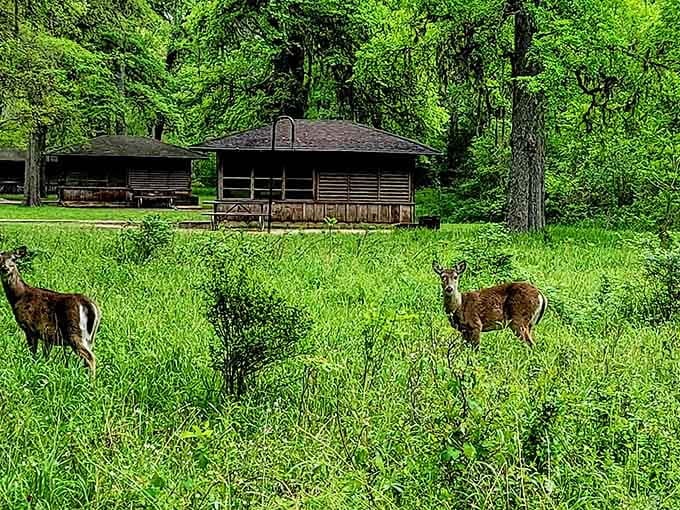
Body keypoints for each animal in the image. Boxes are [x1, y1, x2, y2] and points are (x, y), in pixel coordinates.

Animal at [0, 246, 100, 375]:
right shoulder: (46, 334)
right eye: (0, 258)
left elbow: (33, 353)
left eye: (13, 258)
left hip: (75, 331)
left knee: (90, 357)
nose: (5, 268)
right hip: (89, 337)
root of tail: (91, 306)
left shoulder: (29, 328)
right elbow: (46, 355)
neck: (18, 297)